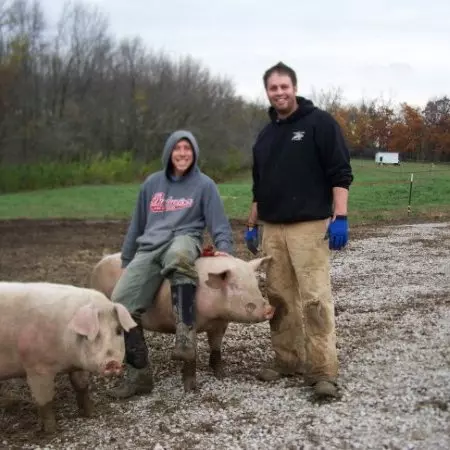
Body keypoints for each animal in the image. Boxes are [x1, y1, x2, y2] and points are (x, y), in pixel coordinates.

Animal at [0, 282, 137, 432]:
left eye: (118, 331)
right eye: (94, 334)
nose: (112, 363)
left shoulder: (77, 366)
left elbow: (82, 386)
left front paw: (92, 413)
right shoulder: (36, 368)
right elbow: (45, 401)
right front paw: (51, 431)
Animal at [90, 255, 274, 392]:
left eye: (256, 284)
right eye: (235, 286)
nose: (269, 309)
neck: (214, 315)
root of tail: (100, 262)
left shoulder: (220, 324)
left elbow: (216, 348)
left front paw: (222, 375)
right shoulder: (190, 322)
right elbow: (191, 352)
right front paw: (190, 389)